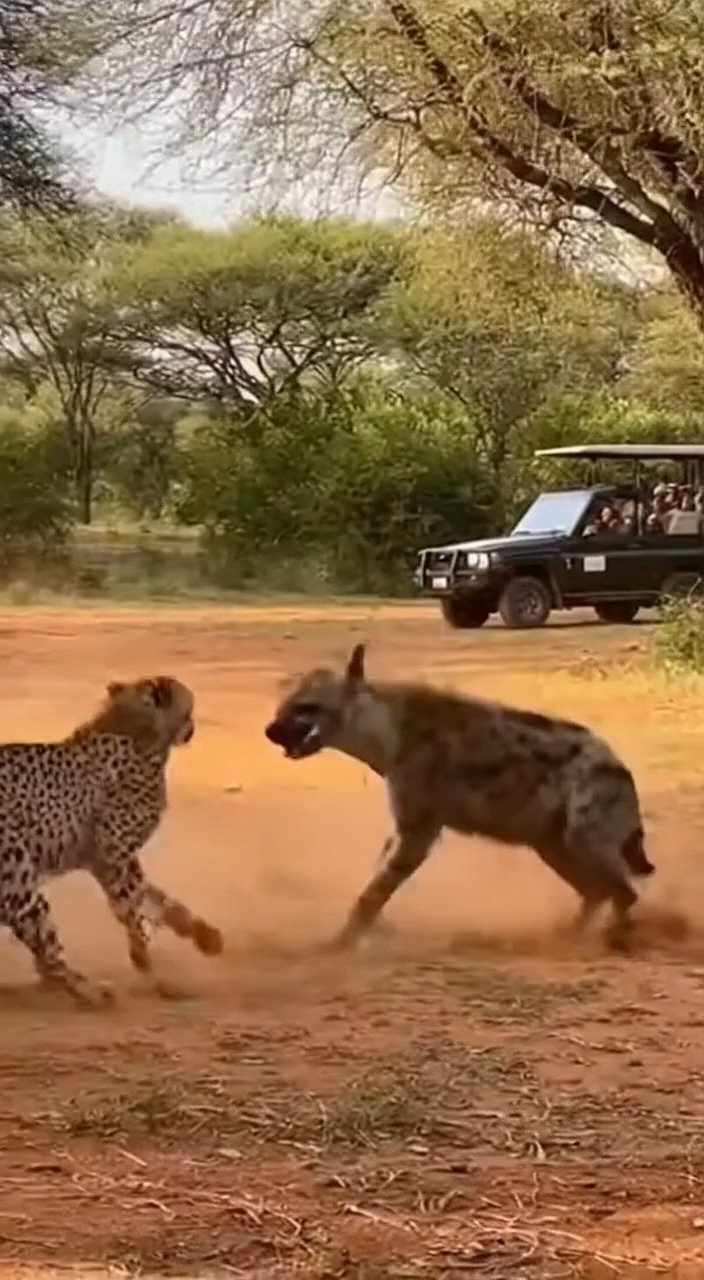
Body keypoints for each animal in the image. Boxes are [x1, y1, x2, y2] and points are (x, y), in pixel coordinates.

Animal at [0, 675, 223, 1006]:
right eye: (189, 705)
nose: (192, 726)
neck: (137, 729)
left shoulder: (103, 860)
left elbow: (156, 897)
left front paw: (203, 936)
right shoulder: (114, 856)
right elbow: (134, 911)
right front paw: (152, 972)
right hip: (20, 883)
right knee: (49, 950)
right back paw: (92, 992)